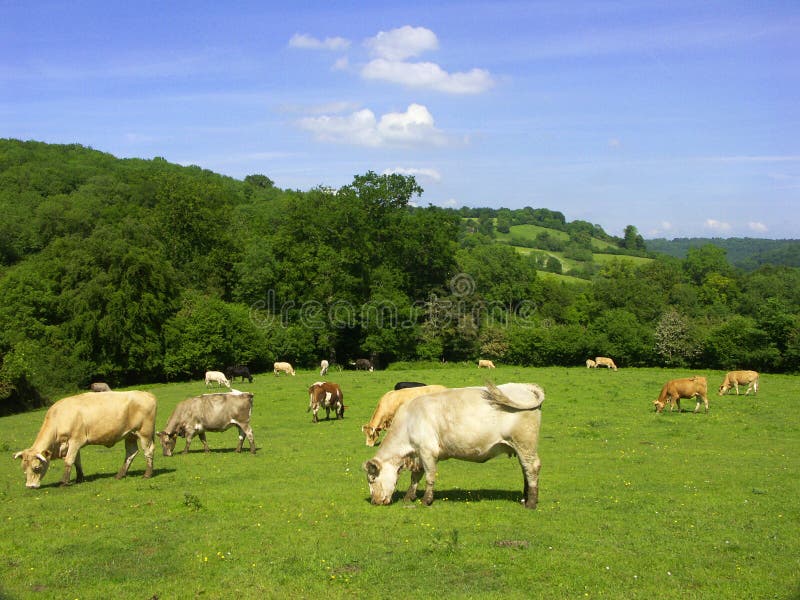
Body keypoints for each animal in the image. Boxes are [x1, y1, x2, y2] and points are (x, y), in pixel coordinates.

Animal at [13, 391, 157, 488]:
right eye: (23, 468)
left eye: (37, 468)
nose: (30, 486)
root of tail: (147, 394)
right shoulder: (72, 444)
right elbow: (77, 462)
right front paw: (79, 478)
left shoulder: (76, 440)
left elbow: (69, 460)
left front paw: (64, 482)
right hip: (130, 435)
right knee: (131, 452)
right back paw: (120, 475)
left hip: (145, 433)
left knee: (148, 451)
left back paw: (147, 474)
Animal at [363, 382, 544, 509]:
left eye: (372, 479)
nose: (374, 501)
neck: (409, 420)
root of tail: (525, 386)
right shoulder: (419, 454)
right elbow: (415, 477)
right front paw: (409, 497)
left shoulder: (427, 451)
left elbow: (429, 476)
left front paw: (426, 500)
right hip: (521, 447)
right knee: (525, 470)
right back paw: (525, 498)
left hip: (524, 443)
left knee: (532, 468)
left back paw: (531, 503)